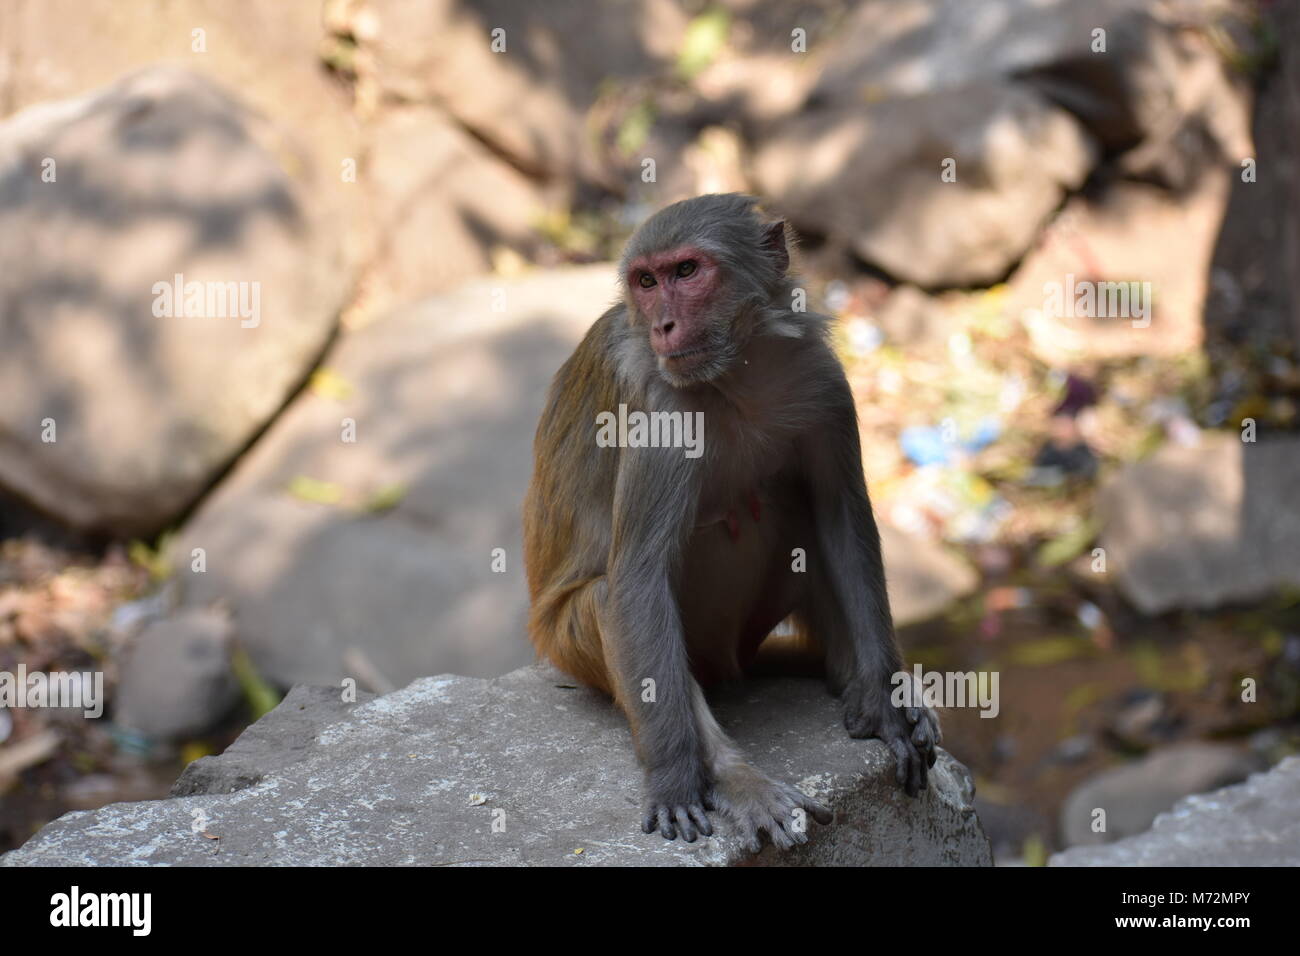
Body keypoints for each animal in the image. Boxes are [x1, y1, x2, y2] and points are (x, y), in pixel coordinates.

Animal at [523, 194, 939, 851]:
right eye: (646, 282)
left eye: (687, 271)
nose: (663, 326)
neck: (734, 374)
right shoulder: (662, 413)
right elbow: (638, 577)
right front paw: (676, 778)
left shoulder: (823, 378)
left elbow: (843, 516)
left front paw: (884, 702)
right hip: (573, 648)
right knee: (612, 600)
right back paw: (735, 778)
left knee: (795, 503)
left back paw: (853, 677)